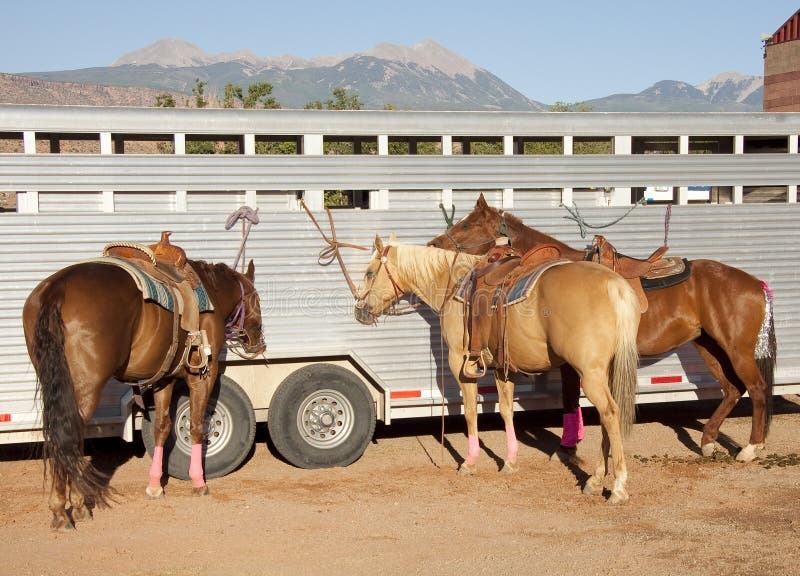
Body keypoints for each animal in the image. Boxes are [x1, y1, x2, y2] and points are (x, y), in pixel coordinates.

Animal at [22, 253, 265, 530]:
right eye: (257, 298)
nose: (258, 341)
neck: (211, 295)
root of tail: (58, 288)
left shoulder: (164, 380)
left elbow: (162, 427)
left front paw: (154, 486)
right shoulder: (202, 376)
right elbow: (196, 425)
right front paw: (198, 482)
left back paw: (72, 506)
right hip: (84, 389)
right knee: (67, 436)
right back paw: (66, 510)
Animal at [354, 234, 641, 504]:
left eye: (369, 273)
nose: (359, 311)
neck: (453, 284)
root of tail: (614, 284)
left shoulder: (460, 363)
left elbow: (470, 412)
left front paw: (469, 462)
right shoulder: (503, 368)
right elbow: (506, 411)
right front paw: (510, 461)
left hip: (590, 374)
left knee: (610, 414)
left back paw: (617, 487)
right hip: (606, 372)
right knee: (606, 418)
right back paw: (595, 480)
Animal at [428, 194, 777, 462]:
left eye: (468, 224)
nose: (433, 243)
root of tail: (755, 284)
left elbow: (570, 400)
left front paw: (567, 448)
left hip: (737, 349)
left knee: (757, 389)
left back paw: (750, 448)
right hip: (709, 346)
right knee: (732, 390)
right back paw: (707, 442)